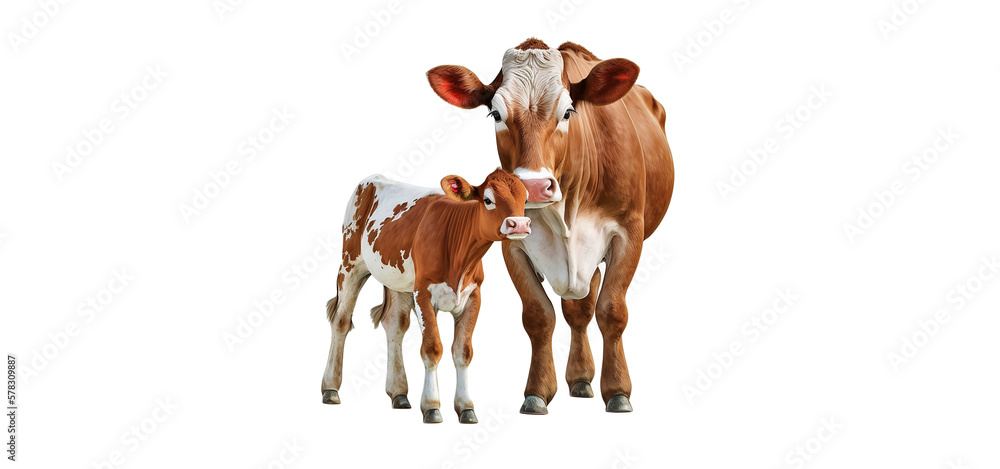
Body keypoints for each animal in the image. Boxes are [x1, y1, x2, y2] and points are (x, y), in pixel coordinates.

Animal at [320, 169, 530, 424]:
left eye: (525, 200)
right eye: (488, 200)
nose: (519, 224)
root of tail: (373, 178)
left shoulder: (474, 296)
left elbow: (463, 351)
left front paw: (466, 407)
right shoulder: (423, 294)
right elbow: (432, 348)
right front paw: (432, 406)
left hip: (397, 280)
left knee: (395, 325)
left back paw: (399, 393)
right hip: (350, 264)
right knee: (341, 320)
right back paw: (330, 388)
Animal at [427, 39, 674, 414]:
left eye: (569, 112)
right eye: (495, 114)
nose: (532, 187)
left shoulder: (629, 232)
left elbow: (612, 310)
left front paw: (618, 391)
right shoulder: (512, 244)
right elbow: (538, 315)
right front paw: (538, 391)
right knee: (578, 310)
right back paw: (581, 378)